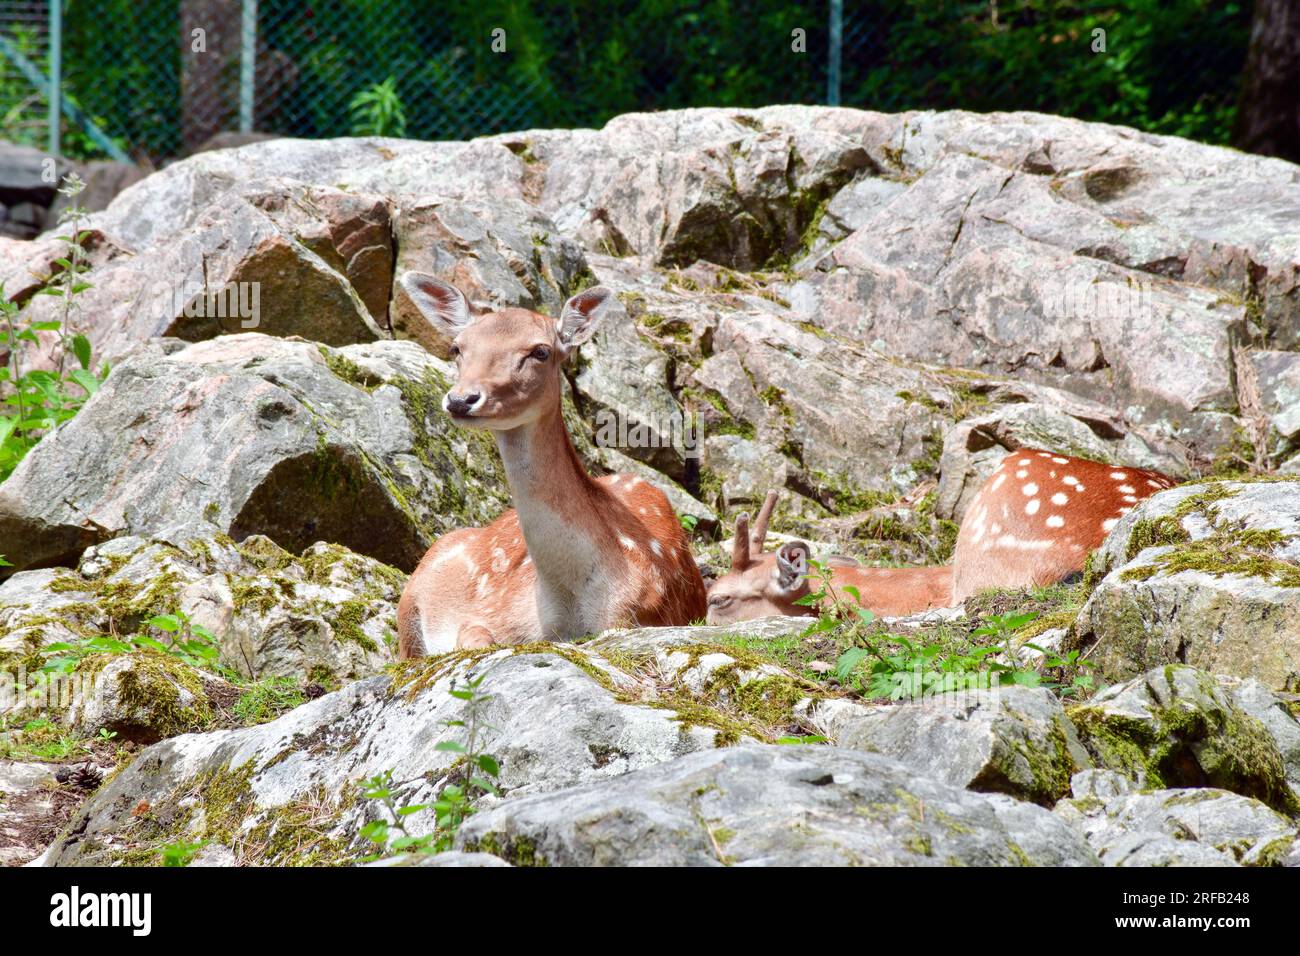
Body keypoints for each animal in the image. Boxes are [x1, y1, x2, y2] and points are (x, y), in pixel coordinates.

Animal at [395, 274, 708, 657]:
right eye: (457, 348)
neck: (566, 592)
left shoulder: (635, 614)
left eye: (540, 352)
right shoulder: (497, 615)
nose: (461, 399)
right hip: (408, 607)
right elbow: (474, 636)